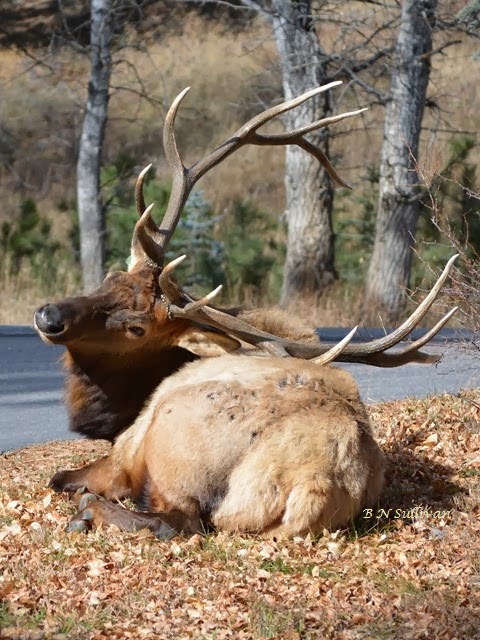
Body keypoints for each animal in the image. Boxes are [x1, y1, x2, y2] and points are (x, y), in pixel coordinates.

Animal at [34, 82, 458, 539]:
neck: (118, 412)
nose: (48, 316)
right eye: (110, 277)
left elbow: (61, 477)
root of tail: (314, 482)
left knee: (176, 521)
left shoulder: (124, 454)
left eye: (137, 328)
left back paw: (87, 512)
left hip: (172, 442)